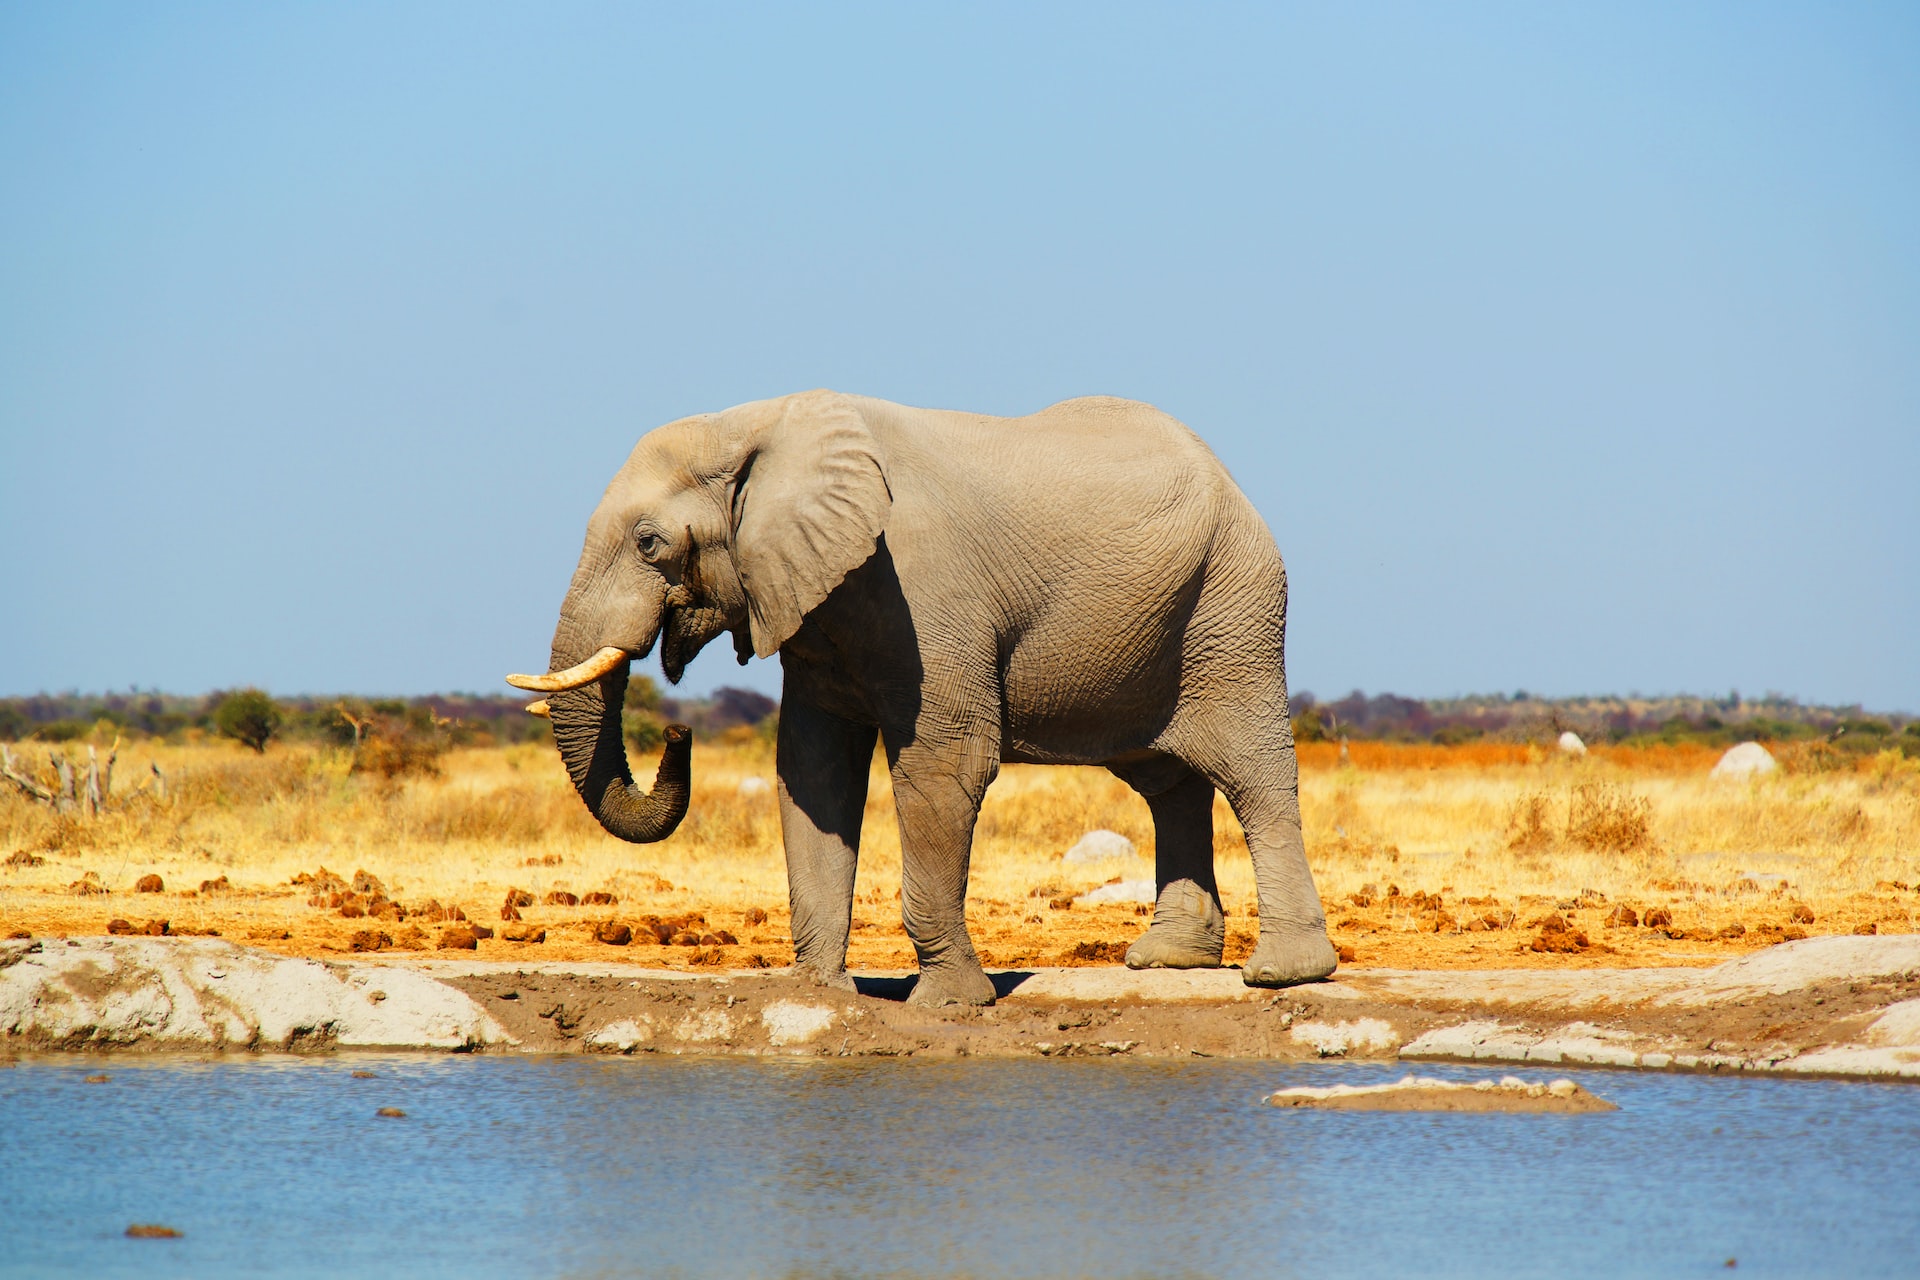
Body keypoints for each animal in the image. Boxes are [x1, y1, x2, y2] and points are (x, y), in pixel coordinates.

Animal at [508, 390, 1337, 1005]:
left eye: (649, 543)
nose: (679, 732)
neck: (756, 425)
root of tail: (1228, 476)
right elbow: (813, 771)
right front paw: (820, 993)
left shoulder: (923, 590)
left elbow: (944, 768)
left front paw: (951, 1003)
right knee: (1168, 783)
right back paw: (1167, 960)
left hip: (1233, 607)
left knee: (1253, 773)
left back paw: (1283, 974)